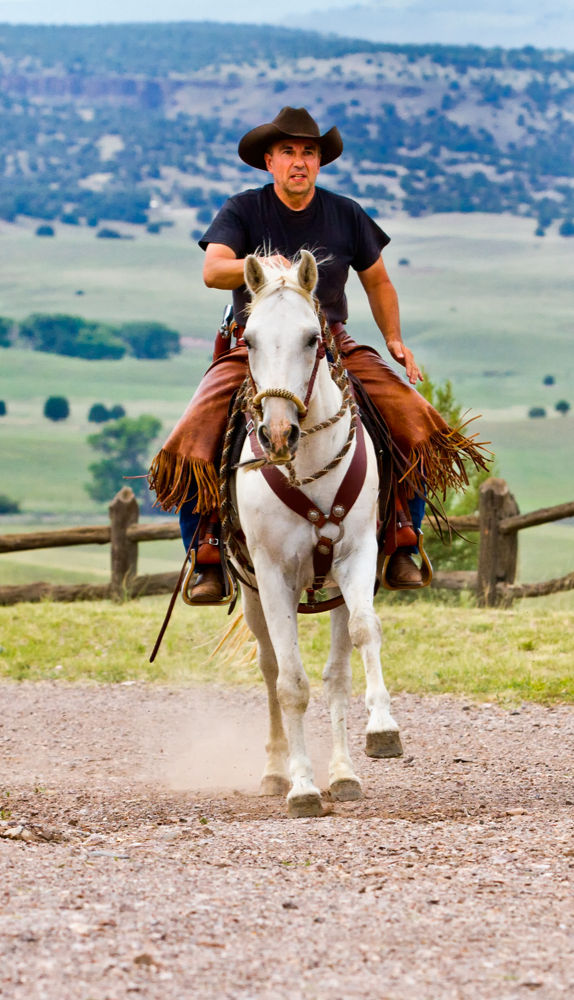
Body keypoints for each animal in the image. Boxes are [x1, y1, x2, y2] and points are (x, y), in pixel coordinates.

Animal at [227, 249, 403, 818]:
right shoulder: (273, 575)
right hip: (252, 593)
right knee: (269, 669)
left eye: (312, 339)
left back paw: (343, 775)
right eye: (249, 339)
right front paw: (302, 787)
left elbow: (360, 642)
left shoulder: (357, 557)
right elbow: (291, 684)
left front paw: (382, 730)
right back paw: (275, 771)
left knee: (335, 672)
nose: (278, 433)